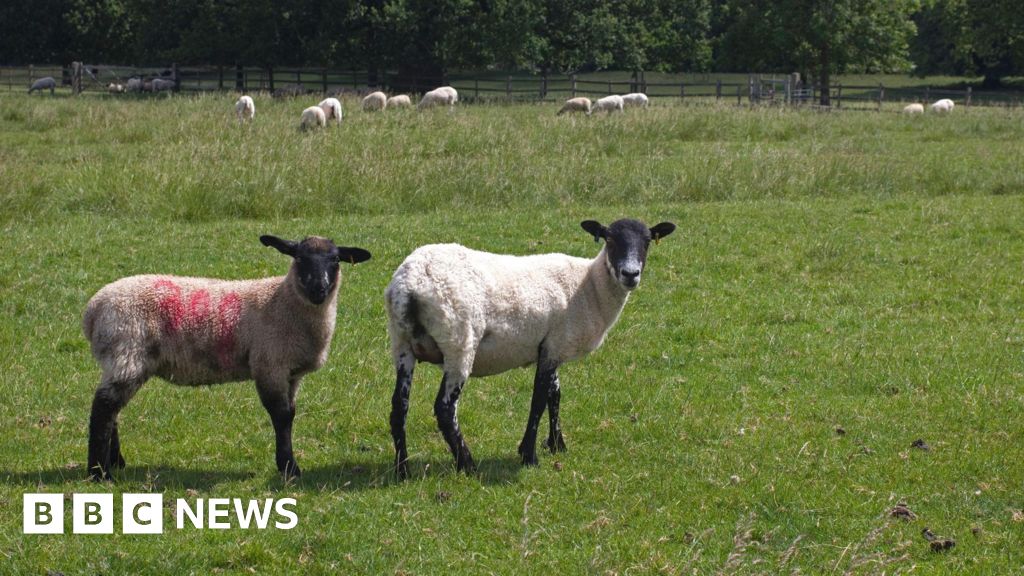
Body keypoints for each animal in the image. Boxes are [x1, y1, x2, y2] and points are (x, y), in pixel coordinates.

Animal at [82, 235, 372, 480]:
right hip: (127, 351)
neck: (282, 302)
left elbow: (290, 413)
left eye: (335, 260)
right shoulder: (269, 363)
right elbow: (281, 416)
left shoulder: (291, 373)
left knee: (112, 409)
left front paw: (288, 465)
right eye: (299, 258)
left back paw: (116, 463)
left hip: (122, 359)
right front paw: (289, 468)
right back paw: (99, 473)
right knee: (103, 408)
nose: (318, 288)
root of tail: (93, 310)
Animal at [385, 218, 677, 478]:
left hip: (402, 344)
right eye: (610, 239)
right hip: (460, 341)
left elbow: (554, 394)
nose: (630, 274)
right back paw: (467, 465)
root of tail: (411, 283)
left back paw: (403, 470)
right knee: (445, 409)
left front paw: (557, 444)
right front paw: (529, 455)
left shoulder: (551, 346)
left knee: (399, 406)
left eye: (647, 242)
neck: (590, 286)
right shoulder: (554, 345)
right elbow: (539, 398)